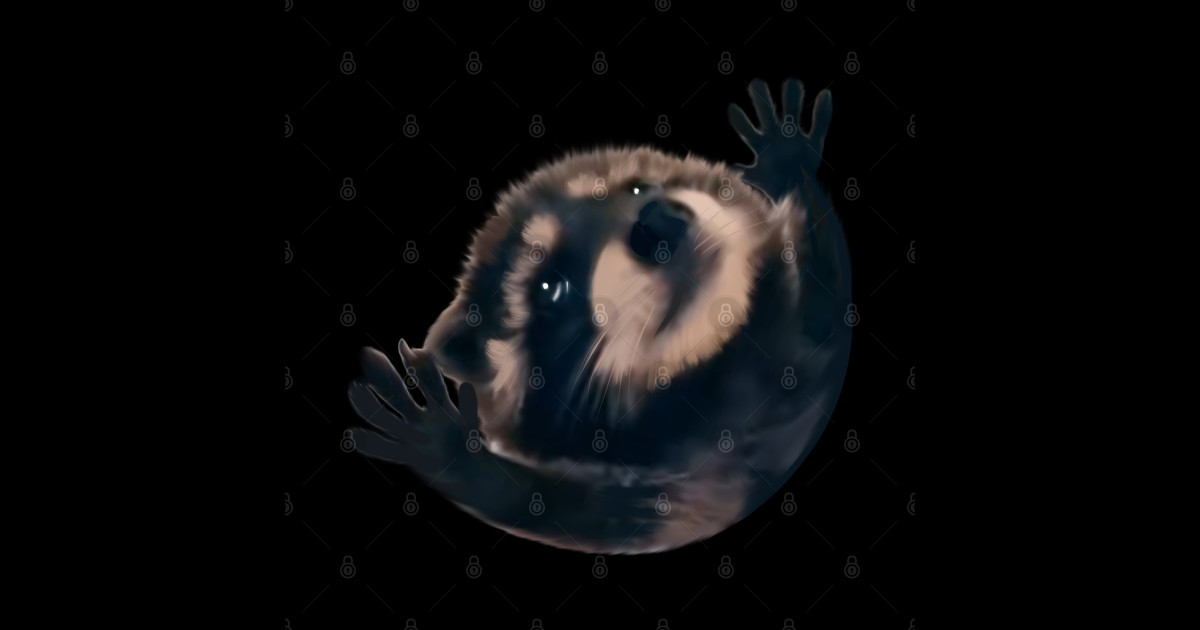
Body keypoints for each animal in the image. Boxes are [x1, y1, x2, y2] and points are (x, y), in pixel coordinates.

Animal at [346, 79, 852, 554]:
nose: (658, 223)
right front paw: (458, 454)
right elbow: (583, 514)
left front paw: (789, 163)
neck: (714, 365)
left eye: (637, 188)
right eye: (551, 288)